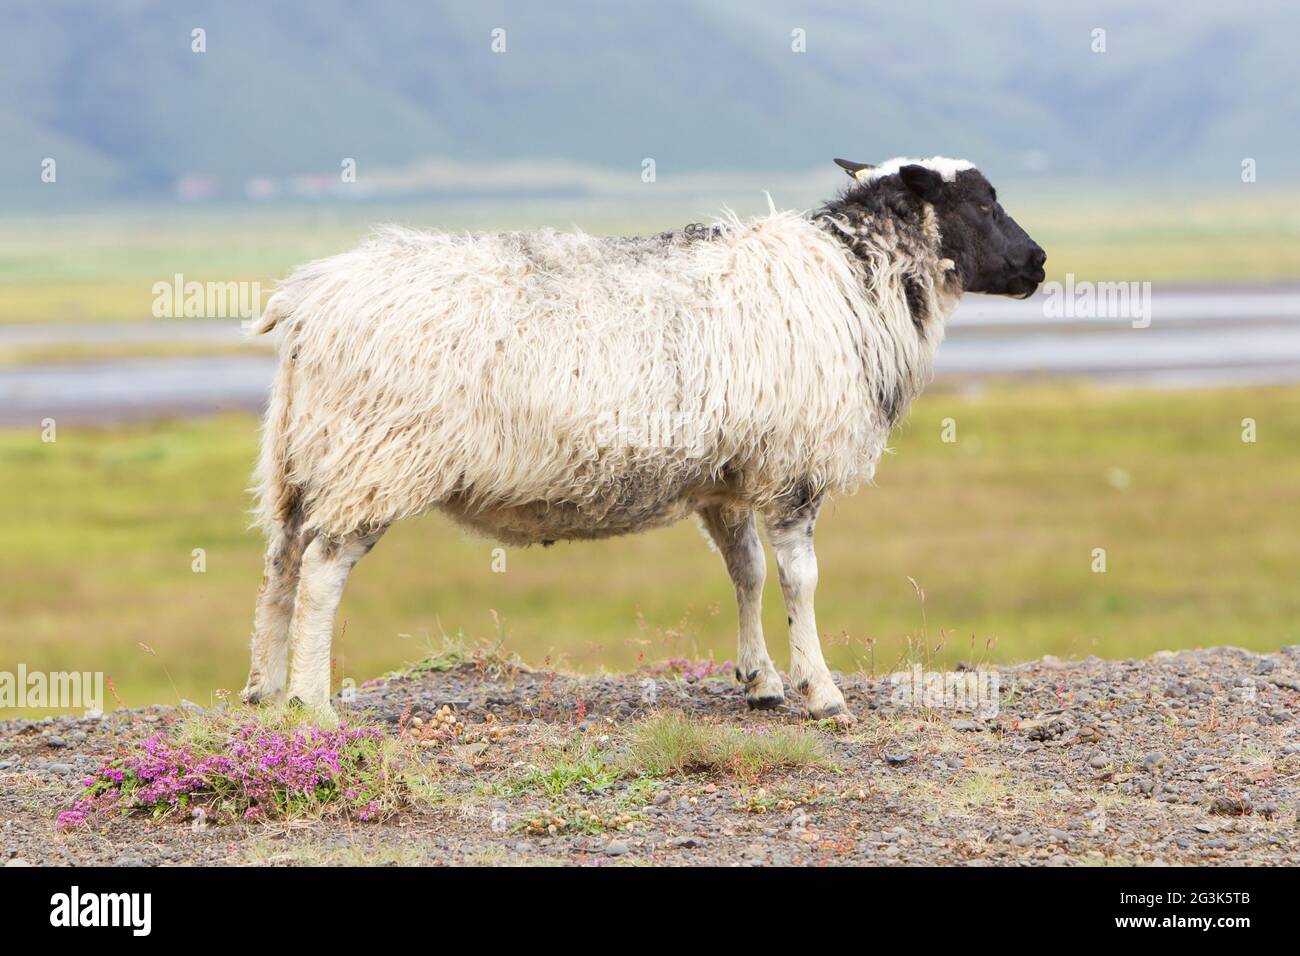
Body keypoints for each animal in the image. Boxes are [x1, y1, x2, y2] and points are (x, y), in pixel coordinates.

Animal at [240, 156, 1046, 722]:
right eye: (983, 201)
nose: (1038, 263)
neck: (859, 277)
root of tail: (307, 301)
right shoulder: (792, 468)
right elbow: (799, 580)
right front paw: (820, 691)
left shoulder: (727, 477)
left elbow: (747, 573)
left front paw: (760, 682)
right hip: (373, 458)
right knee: (321, 572)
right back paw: (311, 703)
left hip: (302, 458)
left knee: (281, 563)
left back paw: (262, 692)